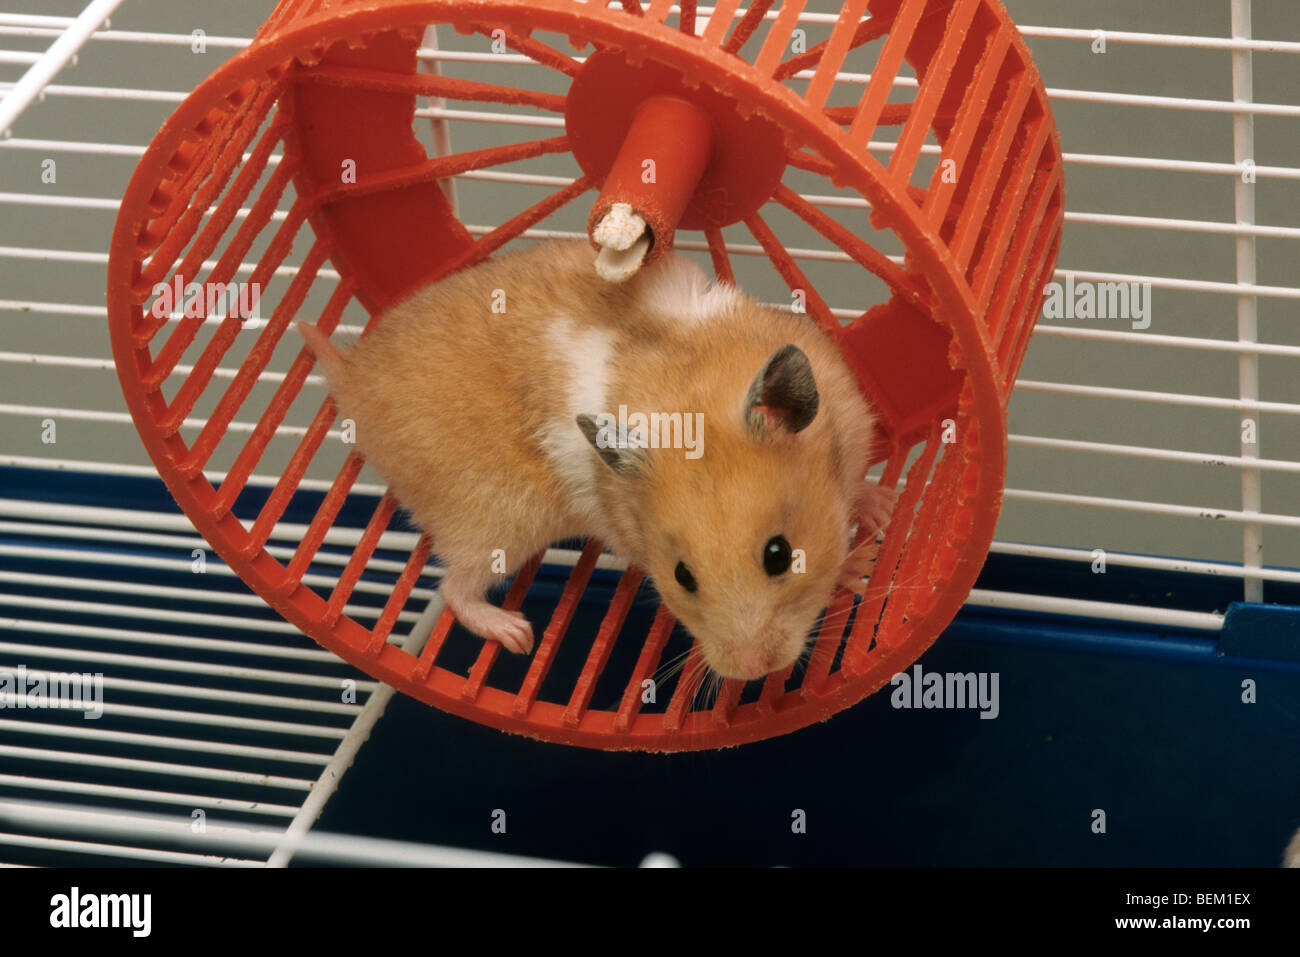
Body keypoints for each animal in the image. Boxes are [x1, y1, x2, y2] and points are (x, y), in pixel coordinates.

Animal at [298, 240, 895, 681]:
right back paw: (516, 635)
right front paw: (862, 564)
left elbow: (858, 488)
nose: (750, 671)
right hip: (491, 522)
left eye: (779, 554)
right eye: (682, 576)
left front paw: (882, 511)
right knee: (454, 588)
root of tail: (353, 384)